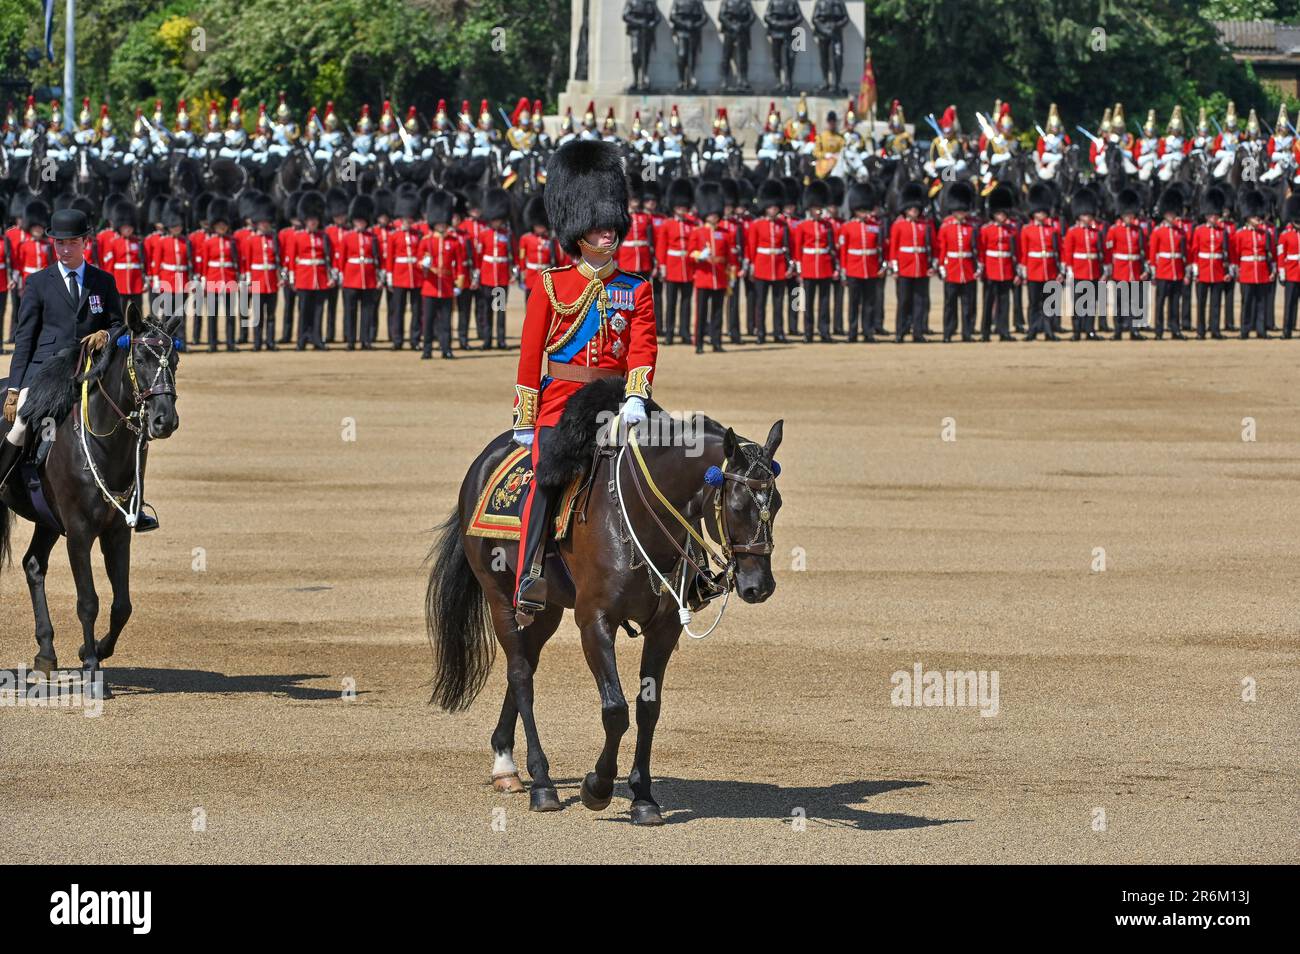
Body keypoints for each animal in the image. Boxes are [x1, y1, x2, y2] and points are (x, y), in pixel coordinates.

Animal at [0, 306, 181, 698]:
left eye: (174, 360)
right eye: (140, 359)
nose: (165, 421)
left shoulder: (117, 532)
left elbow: (122, 605)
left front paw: (92, 650)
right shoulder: (80, 532)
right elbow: (88, 601)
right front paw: (93, 671)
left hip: (48, 520)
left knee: (33, 564)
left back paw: (46, 652)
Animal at [425, 382, 783, 825]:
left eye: (777, 504)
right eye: (736, 506)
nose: (759, 585)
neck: (641, 515)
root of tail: (487, 457)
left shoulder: (664, 627)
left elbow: (648, 708)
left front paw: (643, 796)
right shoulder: (594, 621)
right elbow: (615, 709)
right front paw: (597, 787)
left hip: (545, 609)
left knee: (523, 665)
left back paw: (505, 764)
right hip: (501, 598)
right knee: (522, 675)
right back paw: (541, 783)